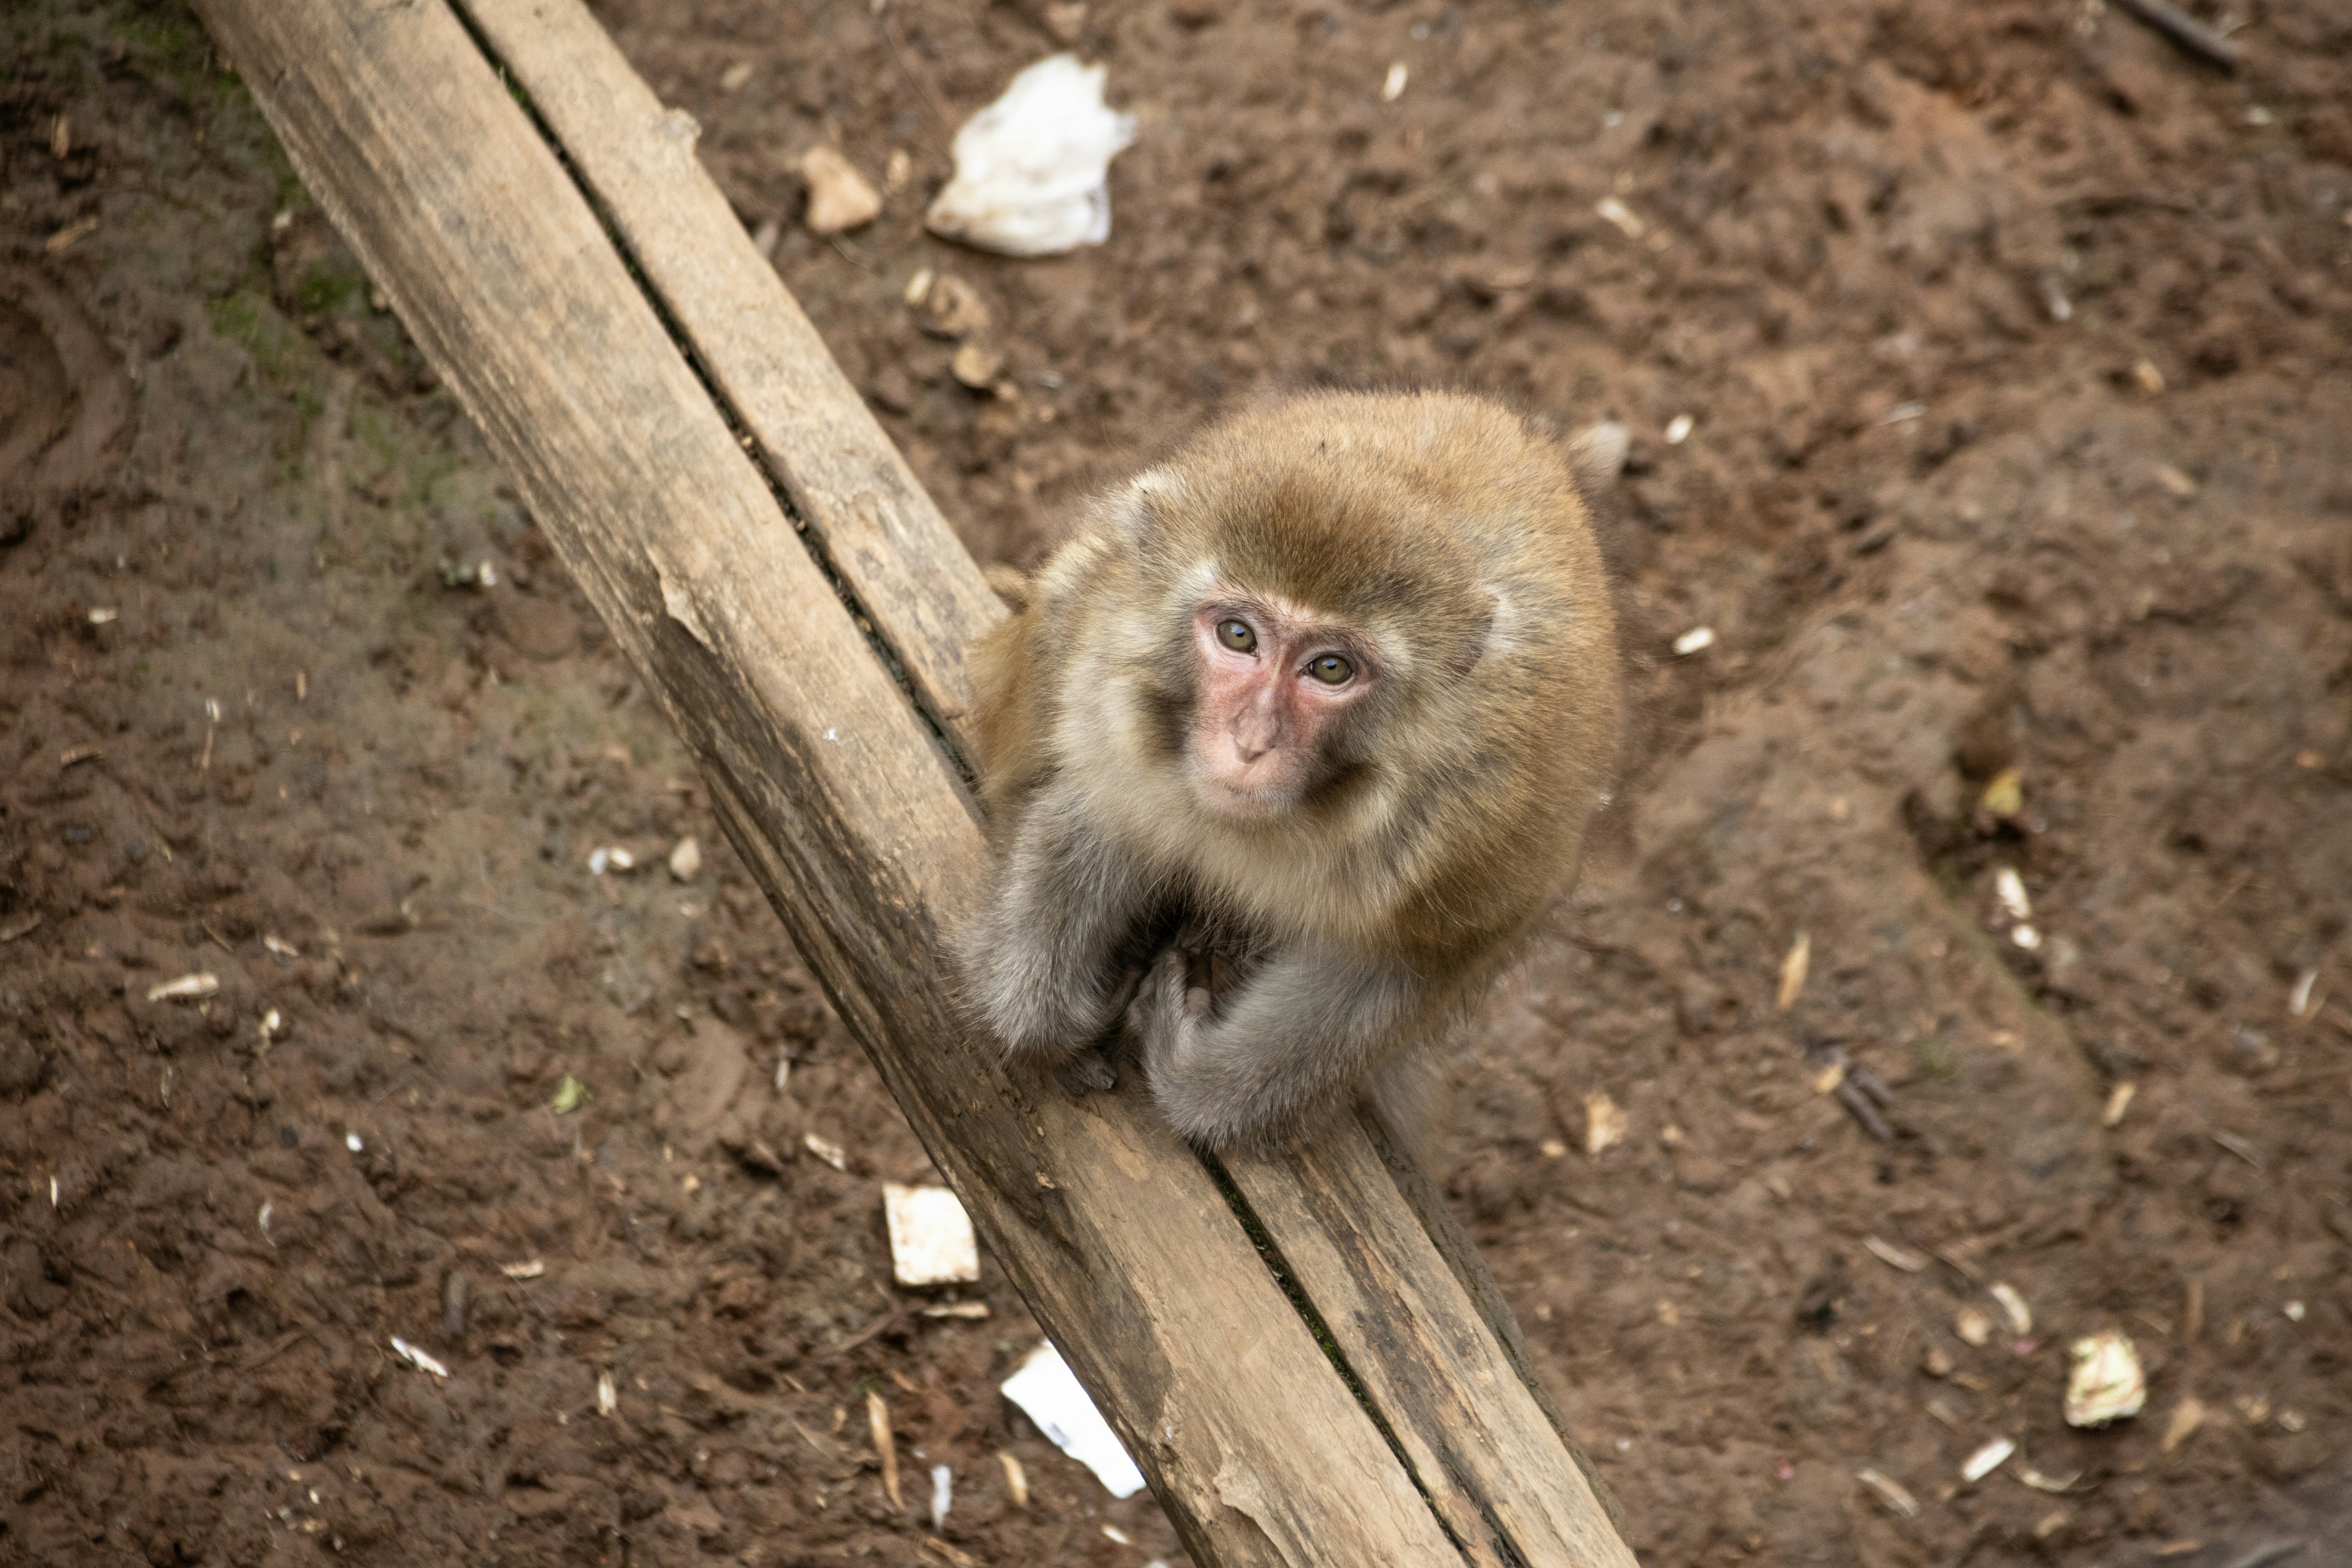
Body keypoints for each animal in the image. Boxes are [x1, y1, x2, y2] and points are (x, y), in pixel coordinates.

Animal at [958, 390, 1621, 1152]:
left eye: (1330, 669)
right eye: (1238, 635)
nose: (1250, 742)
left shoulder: (1476, 822)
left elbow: (1406, 961)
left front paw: (1194, 1079)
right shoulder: (1106, 689)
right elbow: (1098, 813)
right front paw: (1049, 1019)